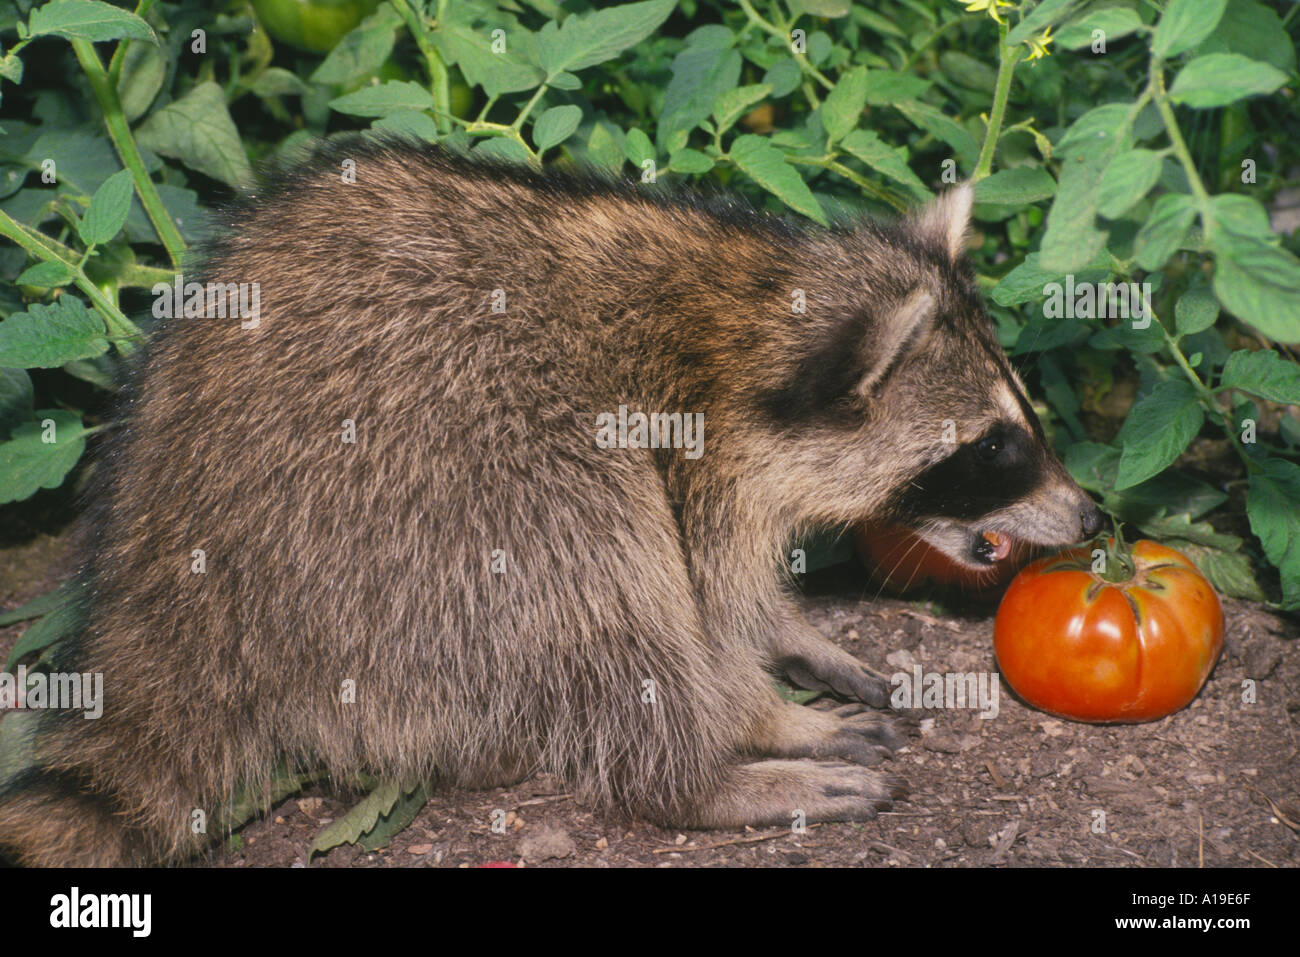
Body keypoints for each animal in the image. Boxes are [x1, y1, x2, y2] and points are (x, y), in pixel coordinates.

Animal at [0, 138, 1101, 866]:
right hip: (419, 500)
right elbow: (707, 605)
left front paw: (798, 637)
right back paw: (701, 776)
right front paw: (761, 708)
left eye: (1019, 422)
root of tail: (167, 563)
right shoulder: (691, 451)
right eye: (991, 446)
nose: (1094, 518)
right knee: (595, 570)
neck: (750, 309)